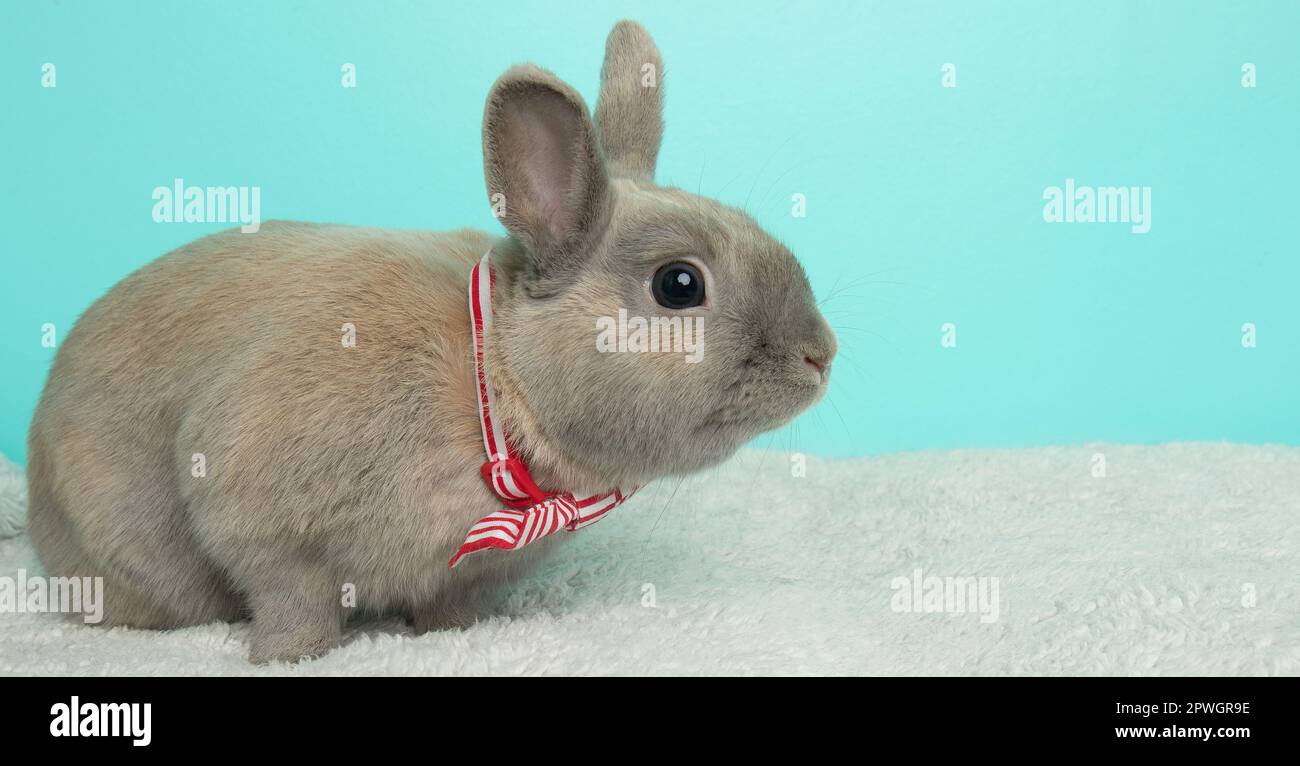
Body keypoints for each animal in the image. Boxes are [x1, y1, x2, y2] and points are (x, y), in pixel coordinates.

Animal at [25, 20, 837, 663]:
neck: (496, 381)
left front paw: (453, 637)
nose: (821, 355)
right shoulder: (260, 521)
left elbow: (448, 609)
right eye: (678, 284)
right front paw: (291, 657)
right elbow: (290, 598)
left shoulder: (462, 571)